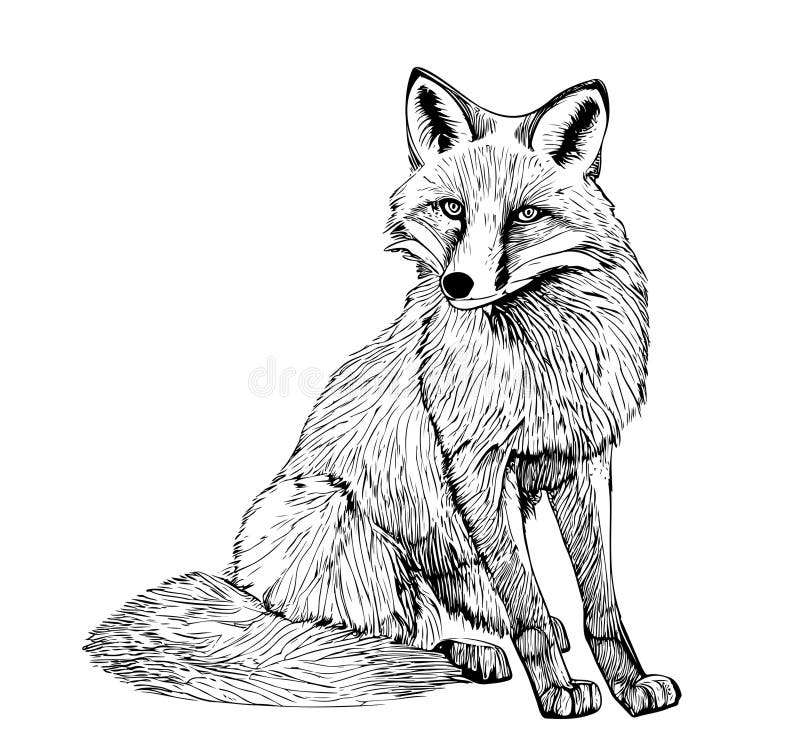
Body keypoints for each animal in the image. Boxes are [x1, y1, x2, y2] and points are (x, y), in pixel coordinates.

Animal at [87, 68, 680, 718]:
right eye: (451, 209)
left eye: (525, 215)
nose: (457, 283)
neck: (540, 353)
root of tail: (242, 590)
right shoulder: (477, 470)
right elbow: (526, 608)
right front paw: (556, 690)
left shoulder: (584, 464)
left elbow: (602, 607)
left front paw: (629, 685)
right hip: (334, 522)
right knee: (387, 635)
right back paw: (468, 653)